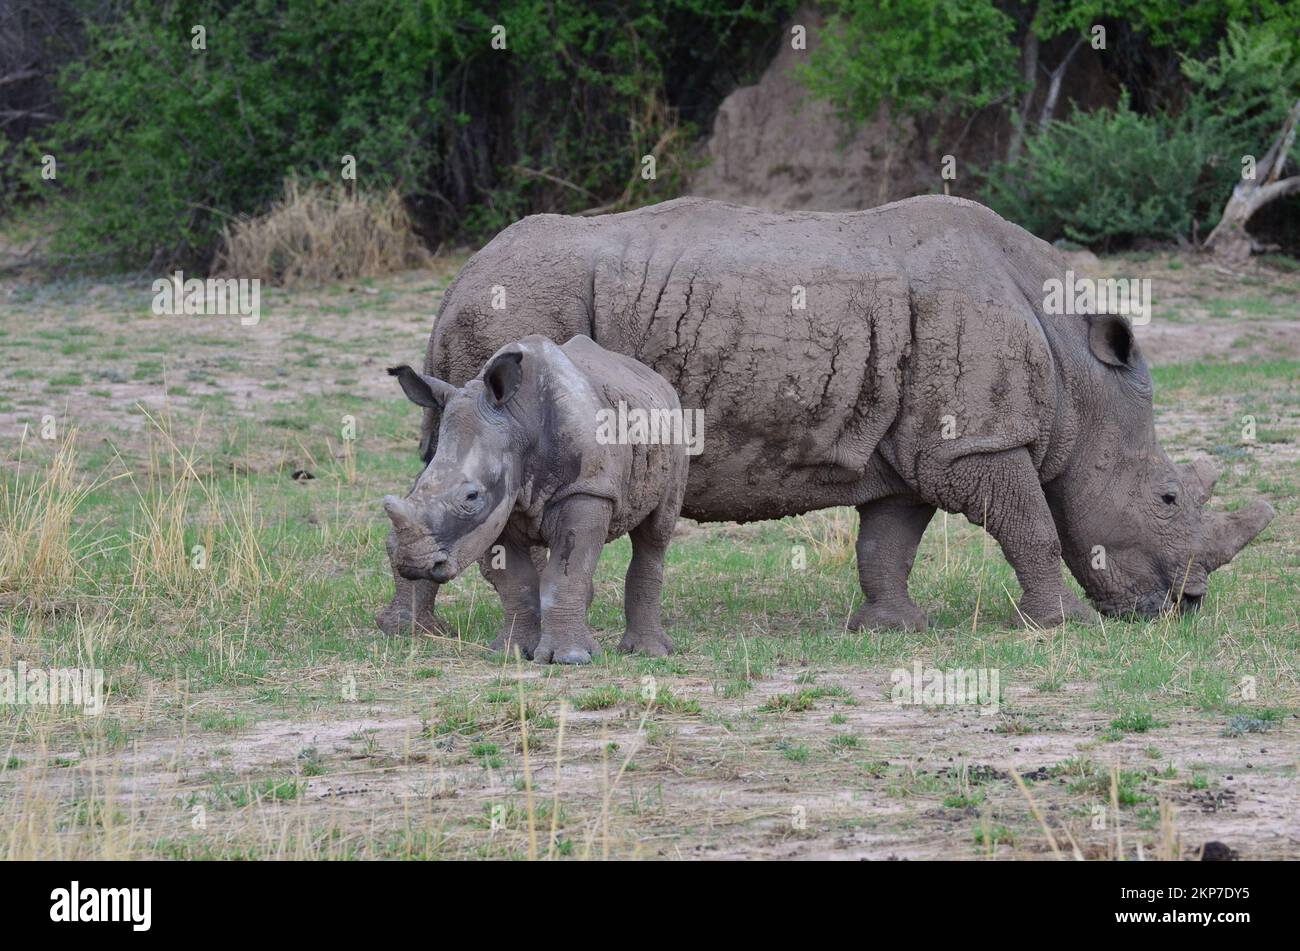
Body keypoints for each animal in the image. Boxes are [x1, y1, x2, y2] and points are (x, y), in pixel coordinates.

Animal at [383, 334, 687, 664]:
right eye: (419, 486)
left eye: (472, 496)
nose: (414, 564)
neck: (517, 420)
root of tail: (656, 379)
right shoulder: (498, 509)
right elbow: (516, 582)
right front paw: (512, 652)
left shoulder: (586, 488)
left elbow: (568, 571)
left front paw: (569, 658)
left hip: (675, 425)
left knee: (655, 535)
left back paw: (649, 652)